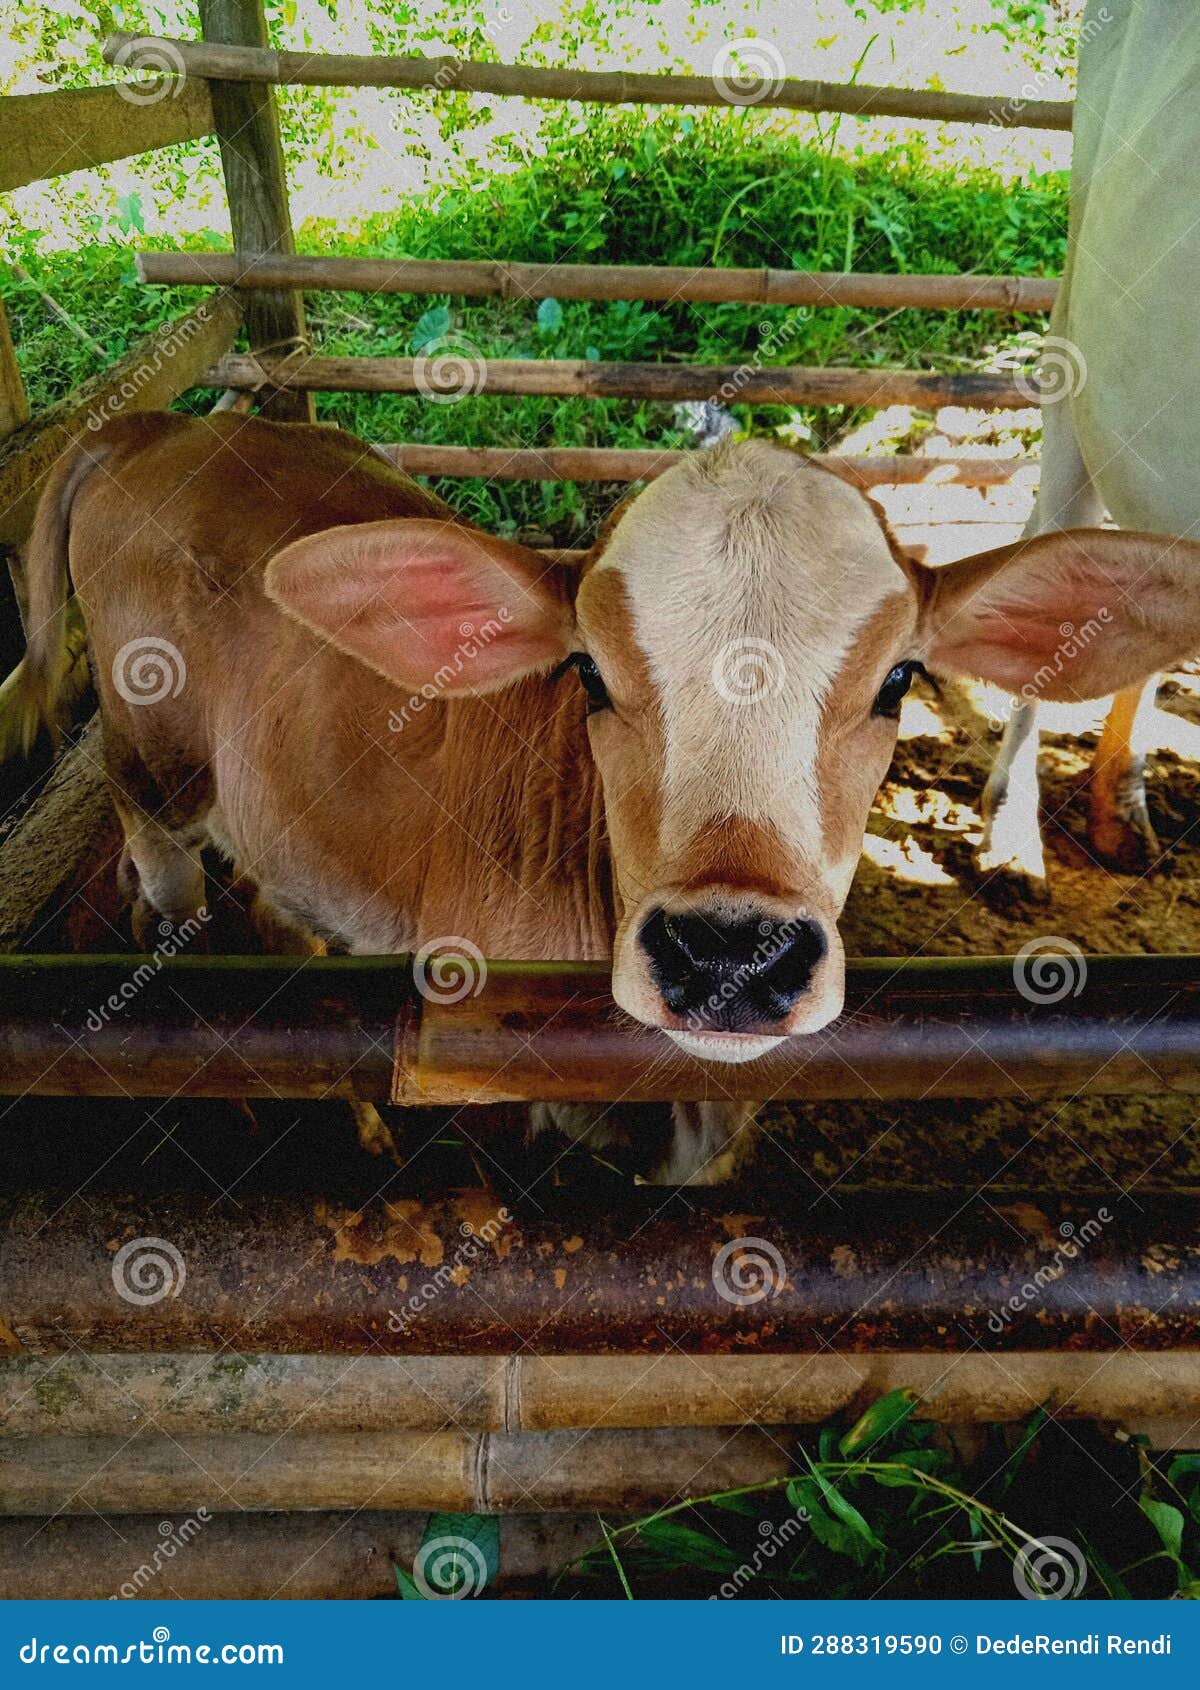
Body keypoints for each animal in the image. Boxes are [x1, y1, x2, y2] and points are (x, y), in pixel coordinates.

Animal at [13, 410, 1200, 1181]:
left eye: (900, 678)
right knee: (164, 909)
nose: (728, 954)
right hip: (151, 771)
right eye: (588, 671)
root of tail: (154, 429)